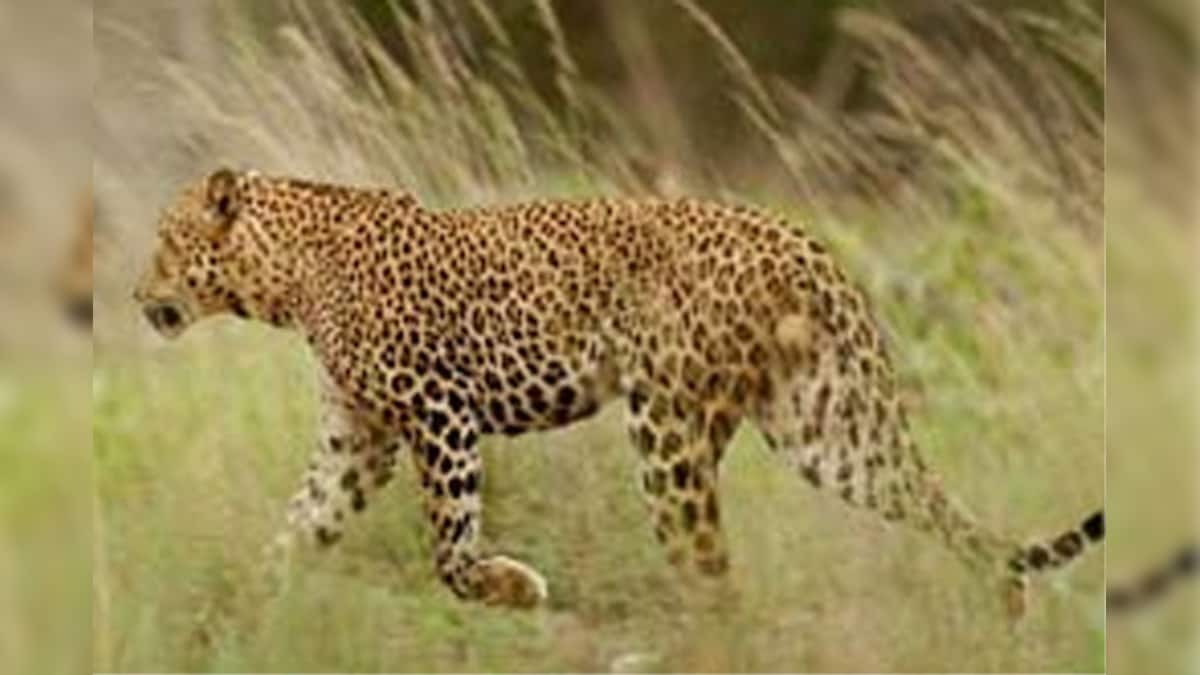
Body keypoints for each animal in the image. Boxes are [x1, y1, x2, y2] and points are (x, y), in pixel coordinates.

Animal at [132, 168, 1104, 613]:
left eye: (167, 242)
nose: (139, 298)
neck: (285, 283)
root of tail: (795, 236)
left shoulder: (439, 409)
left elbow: (448, 550)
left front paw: (515, 587)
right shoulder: (357, 437)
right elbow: (296, 527)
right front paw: (241, 609)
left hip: (669, 426)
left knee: (713, 570)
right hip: (824, 423)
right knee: (937, 510)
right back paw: (1005, 610)